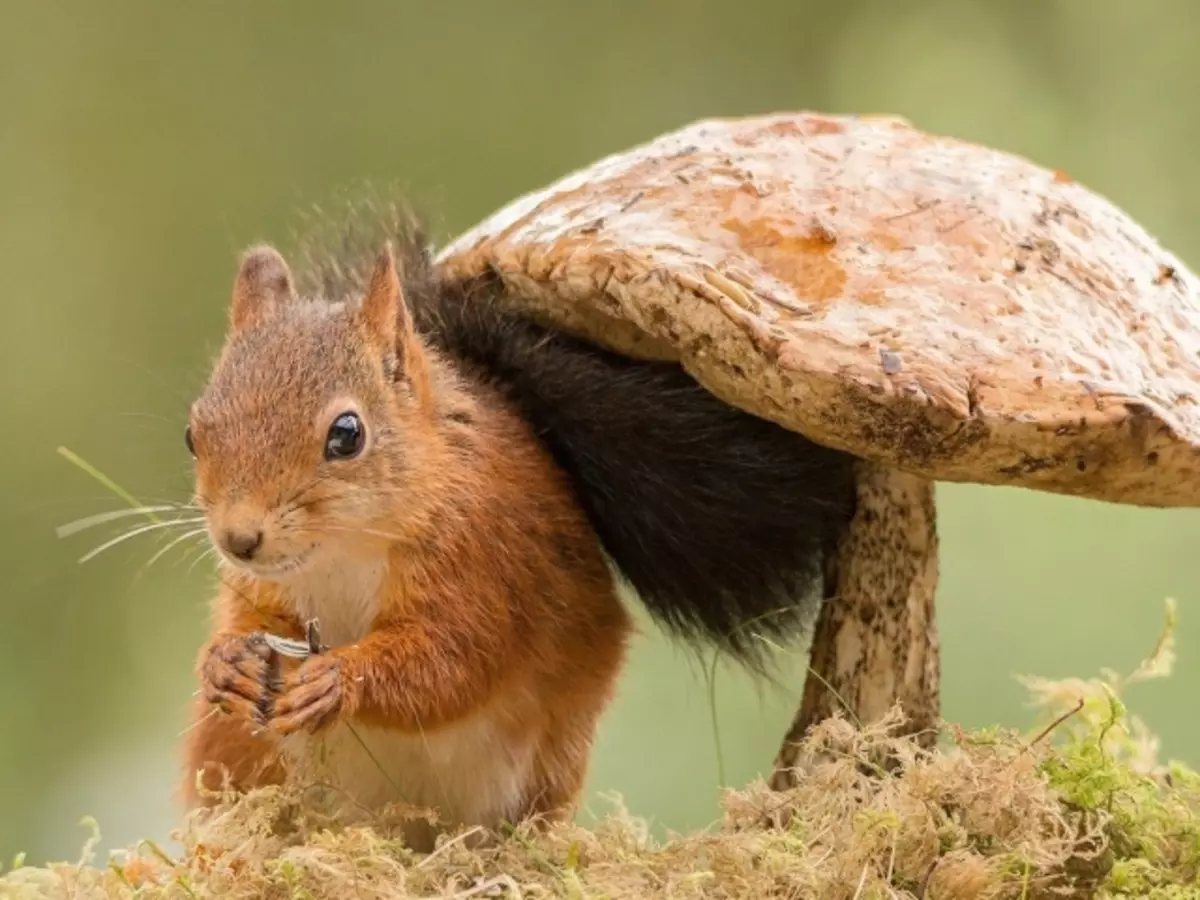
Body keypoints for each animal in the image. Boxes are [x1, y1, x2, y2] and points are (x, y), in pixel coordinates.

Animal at [182, 213, 859, 854]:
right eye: (193, 432)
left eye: (346, 435)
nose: (239, 539)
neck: (345, 550)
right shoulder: (263, 588)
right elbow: (245, 620)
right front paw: (227, 663)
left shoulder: (487, 556)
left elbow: (454, 659)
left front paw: (338, 680)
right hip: (232, 751)